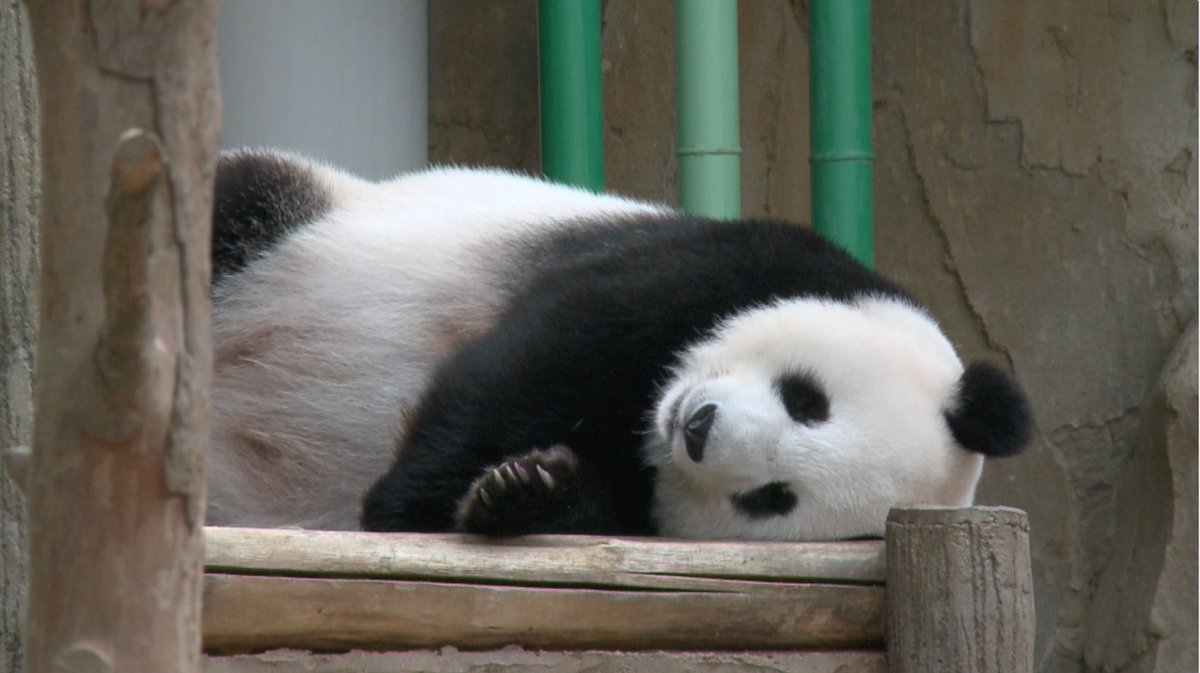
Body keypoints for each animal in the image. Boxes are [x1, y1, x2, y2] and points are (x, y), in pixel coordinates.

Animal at [209, 149, 1031, 540]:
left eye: (774, 497)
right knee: (234, 200)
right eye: (808, 399)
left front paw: (524, 490)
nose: (700, 427)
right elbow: (541, 355)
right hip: (298, 226)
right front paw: (406, 496)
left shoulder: (647, 500)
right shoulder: (729, 264)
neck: (648, 410)